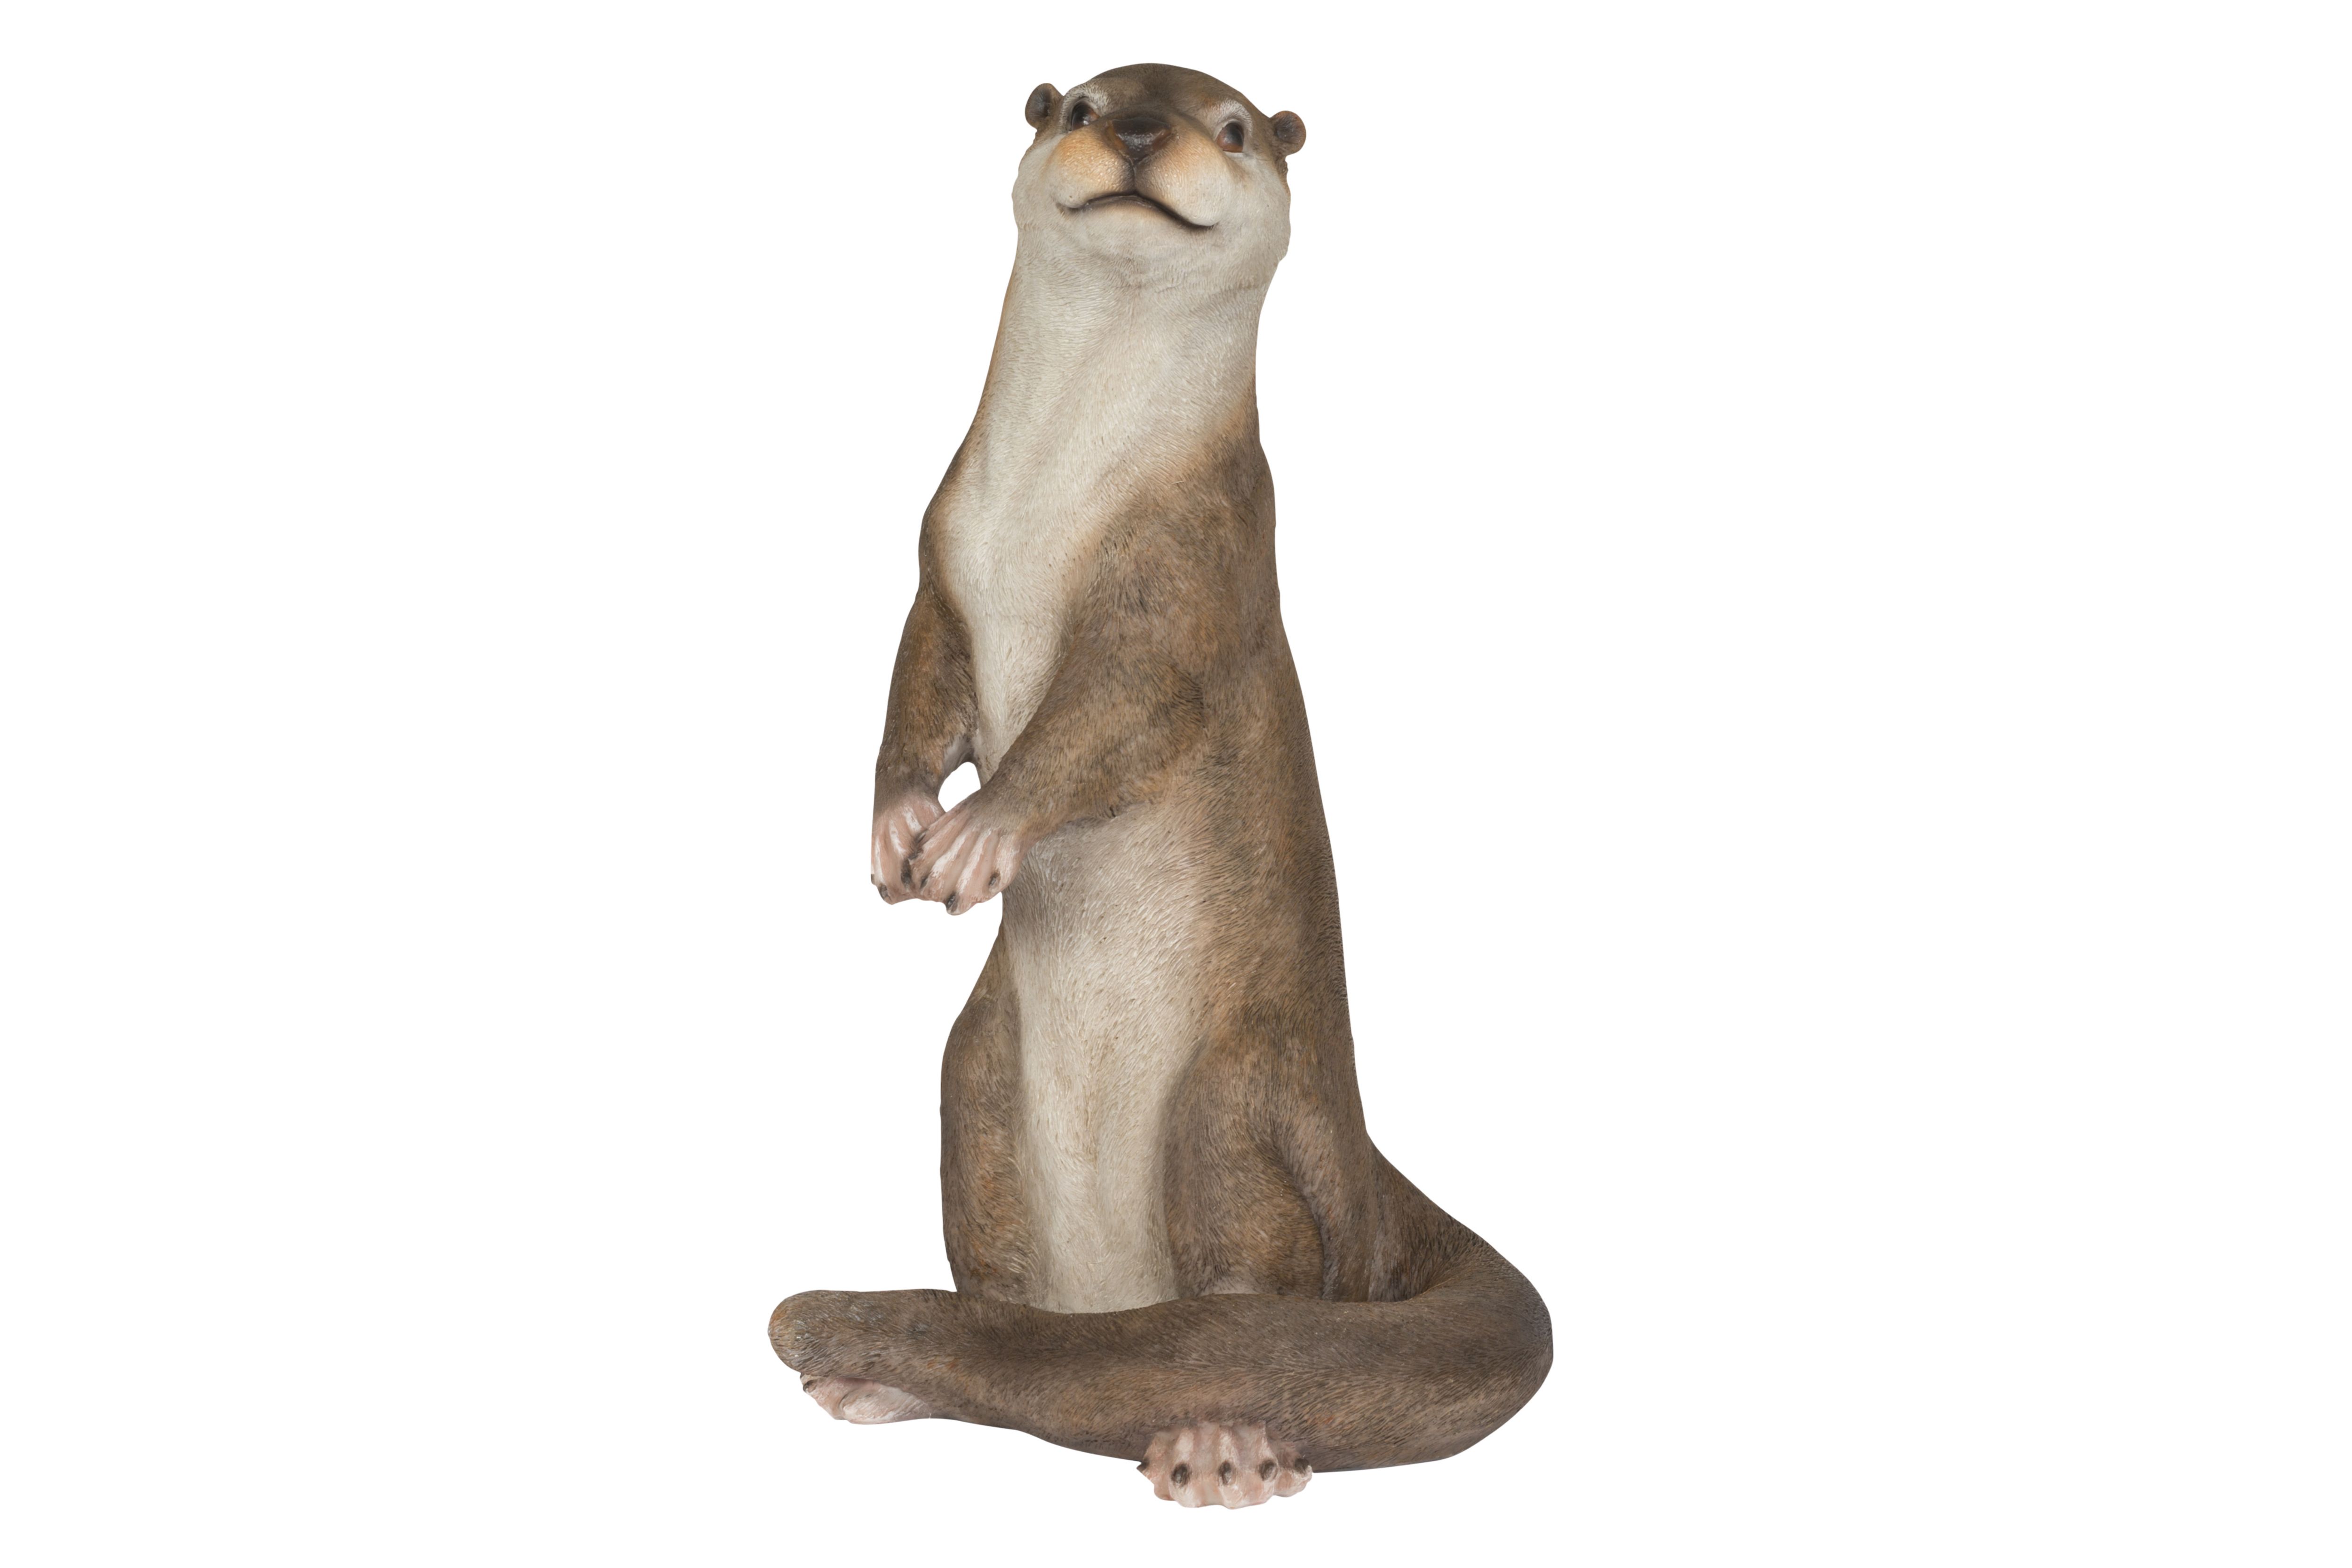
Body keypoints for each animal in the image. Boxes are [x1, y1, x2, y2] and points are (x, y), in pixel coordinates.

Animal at [770, 63, 1551, 1509]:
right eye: (1074, 105)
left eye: (1234, 128)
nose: (1139, 132)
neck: (1048, 506)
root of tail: (1373, 1169)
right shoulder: (940, 555)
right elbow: (918, 690)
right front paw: (899, 825)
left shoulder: (1190, 571)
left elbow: (1104, 723)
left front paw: (977, 837)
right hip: (978, 1071)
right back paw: (913, 1370)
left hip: (1236, 1097)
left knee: (1253, 1276)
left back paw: (1221, 1440)